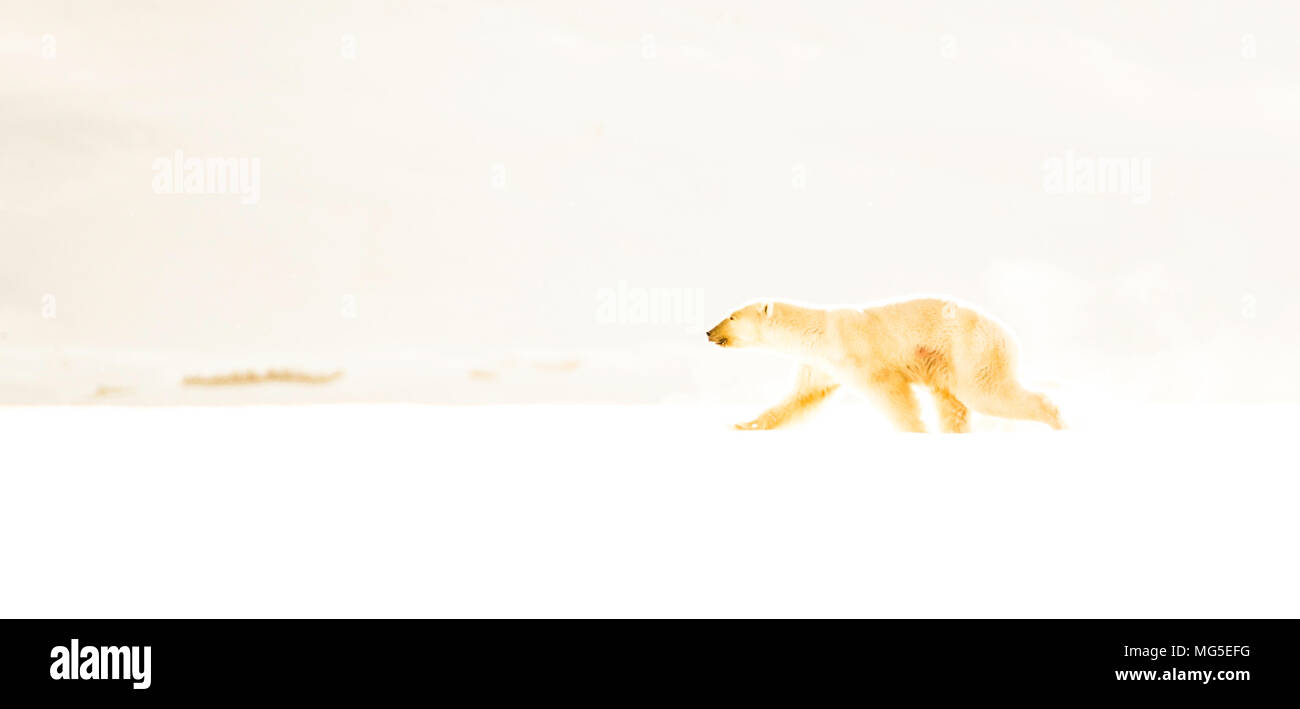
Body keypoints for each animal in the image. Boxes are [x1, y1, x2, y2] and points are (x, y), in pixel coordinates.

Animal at [705, 297, 1063, 433]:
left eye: (732, 317)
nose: (709, 331)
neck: (819, 332)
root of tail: (1009, 336)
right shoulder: (821, 364)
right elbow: (800, 400)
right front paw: (742, 425)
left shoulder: (858, 354)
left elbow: (891, 393)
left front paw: (914, 431)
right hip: (949, 364)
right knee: (953, 404)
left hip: (971, 351)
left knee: (986, 393)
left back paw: (1056, 419)